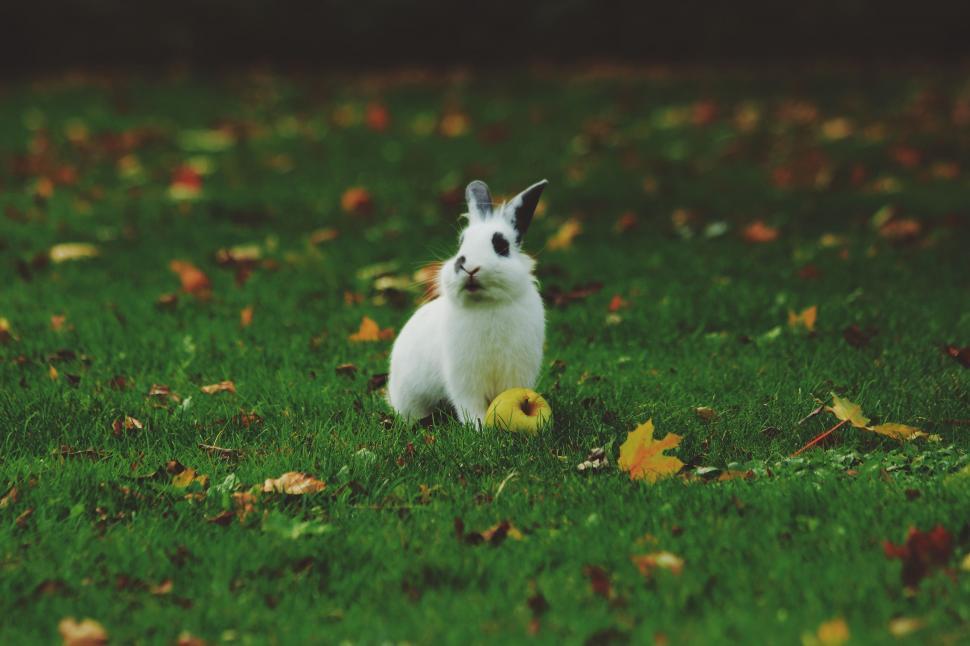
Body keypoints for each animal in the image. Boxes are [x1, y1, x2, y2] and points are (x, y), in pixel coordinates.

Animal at [388, 179, 548, 425]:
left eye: (501, 246)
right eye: (461, 244)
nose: (468, 267)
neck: (487, 304)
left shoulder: (515, 372)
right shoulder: (464, 379)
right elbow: (469, 405)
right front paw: (479, 427)